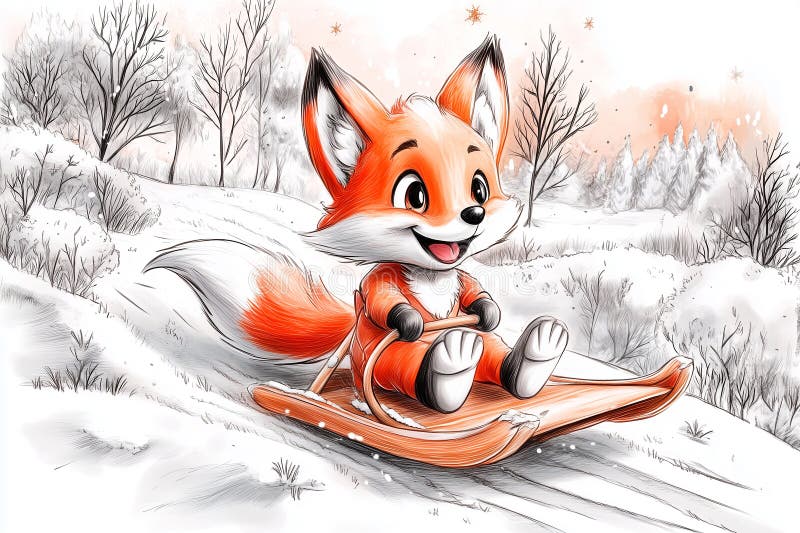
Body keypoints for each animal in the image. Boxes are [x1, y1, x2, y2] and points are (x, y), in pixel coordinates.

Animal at [145, 35, 569, 414]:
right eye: (415, 195)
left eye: (479, 189)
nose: (473, 214)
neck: (432, 277)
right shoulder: (380, 281)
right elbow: (385, 303)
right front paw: (409, 320)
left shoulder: (461, 280)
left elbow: (475, 294)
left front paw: (490, 311)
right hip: (383, 364)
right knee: (415, 364)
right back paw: (452, 364)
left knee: (494, 351)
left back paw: (534, 357)